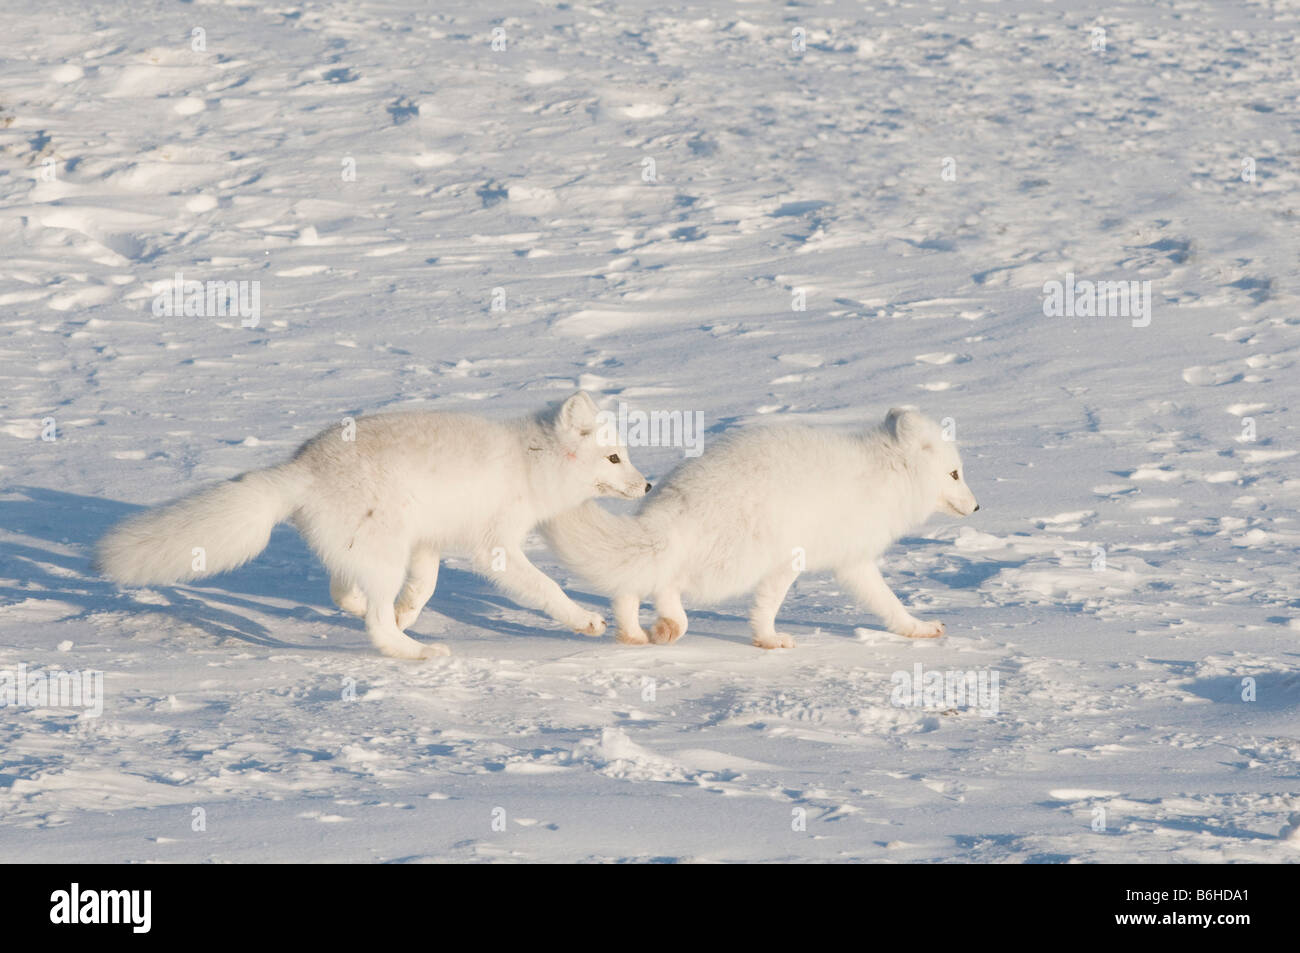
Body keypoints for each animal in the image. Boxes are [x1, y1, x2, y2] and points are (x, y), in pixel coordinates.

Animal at [95, 391, 649, 659]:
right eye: (614, 457)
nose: (646, 486)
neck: (530, 460)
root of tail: (302, 467)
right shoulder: (495, 546)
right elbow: (546, 588)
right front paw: (586, 620)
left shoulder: (428, 541)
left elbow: (425, 586)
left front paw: (411, 611)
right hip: (383, 550)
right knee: (375, 626)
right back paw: (419, 652)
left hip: (376, 544)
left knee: (346, 594)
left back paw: (386, 618)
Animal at [542, 407, 979, 650]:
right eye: (955, 474)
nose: (977, 506)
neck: (887, 474)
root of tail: (674, 499)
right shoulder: (795, 560)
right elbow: (769, 605)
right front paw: (769, 640)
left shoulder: (851, 562)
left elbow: (889, 605)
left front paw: (916, 629)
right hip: (736, 563)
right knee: (666, 585)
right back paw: (671, 624)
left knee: (632, 585)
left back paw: (633, 634)